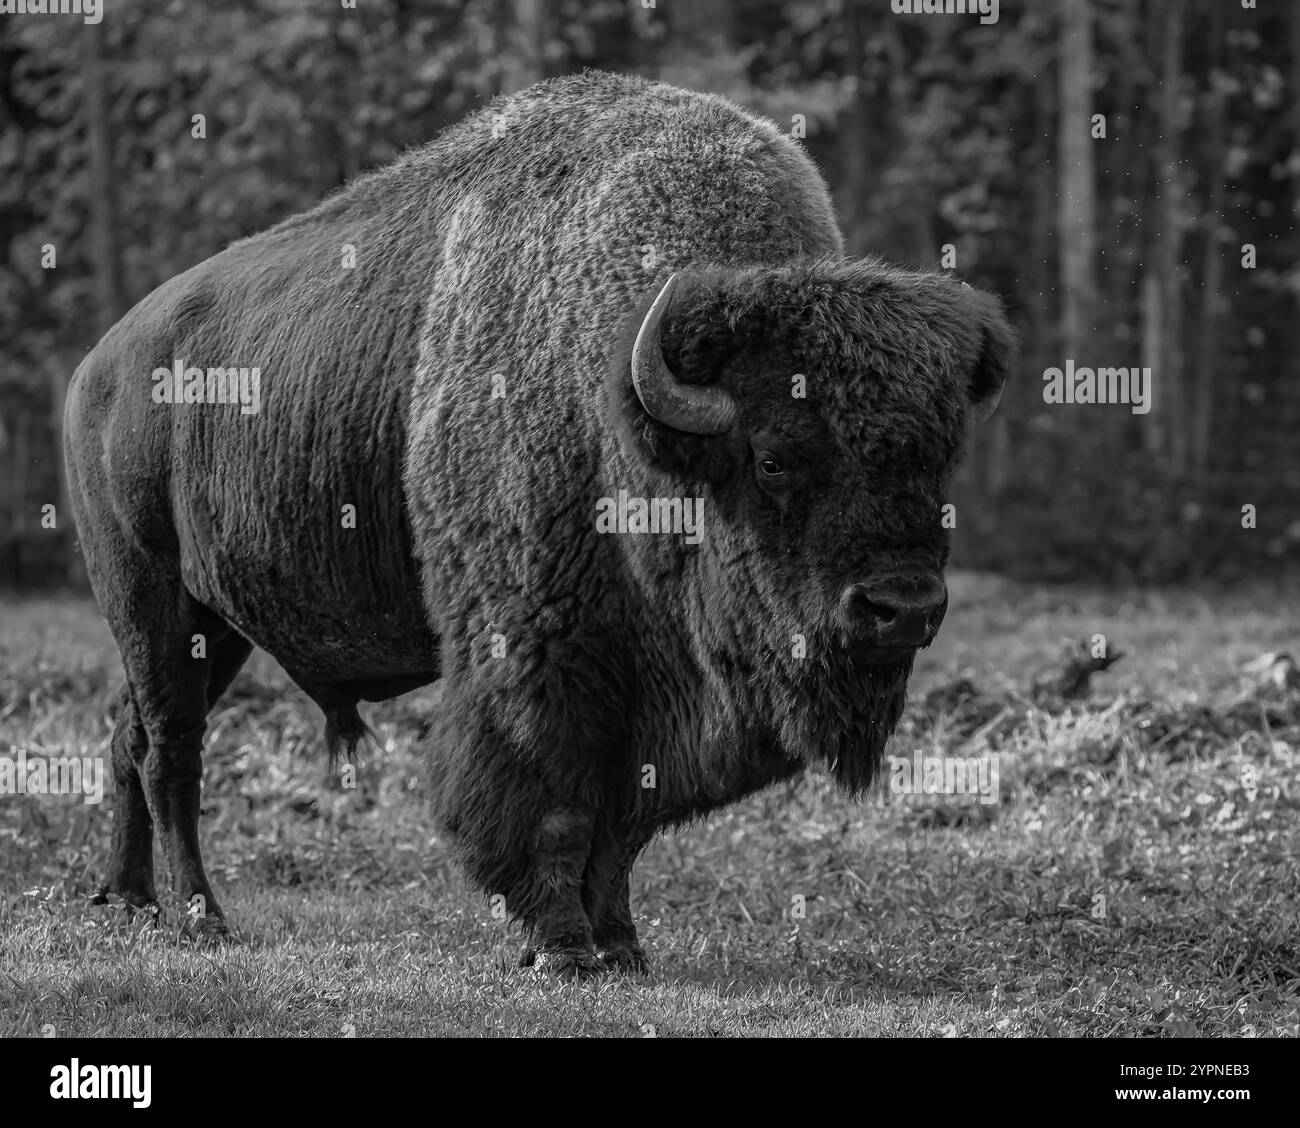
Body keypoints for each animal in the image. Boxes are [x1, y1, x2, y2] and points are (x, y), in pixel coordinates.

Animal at [64, 71, 1012, 975]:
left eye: (936, 461)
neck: (616, 406)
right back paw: (201, 917)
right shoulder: (536, 659)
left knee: (128, 738)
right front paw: (559, 949)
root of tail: (97, 366)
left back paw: (127, 900)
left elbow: (623, 826)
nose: (902, 608)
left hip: (216, 626)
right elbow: (555, 804)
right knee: (172, 751)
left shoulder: (641, 693)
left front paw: (621, 944)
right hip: (151, 600)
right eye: (774, 458)